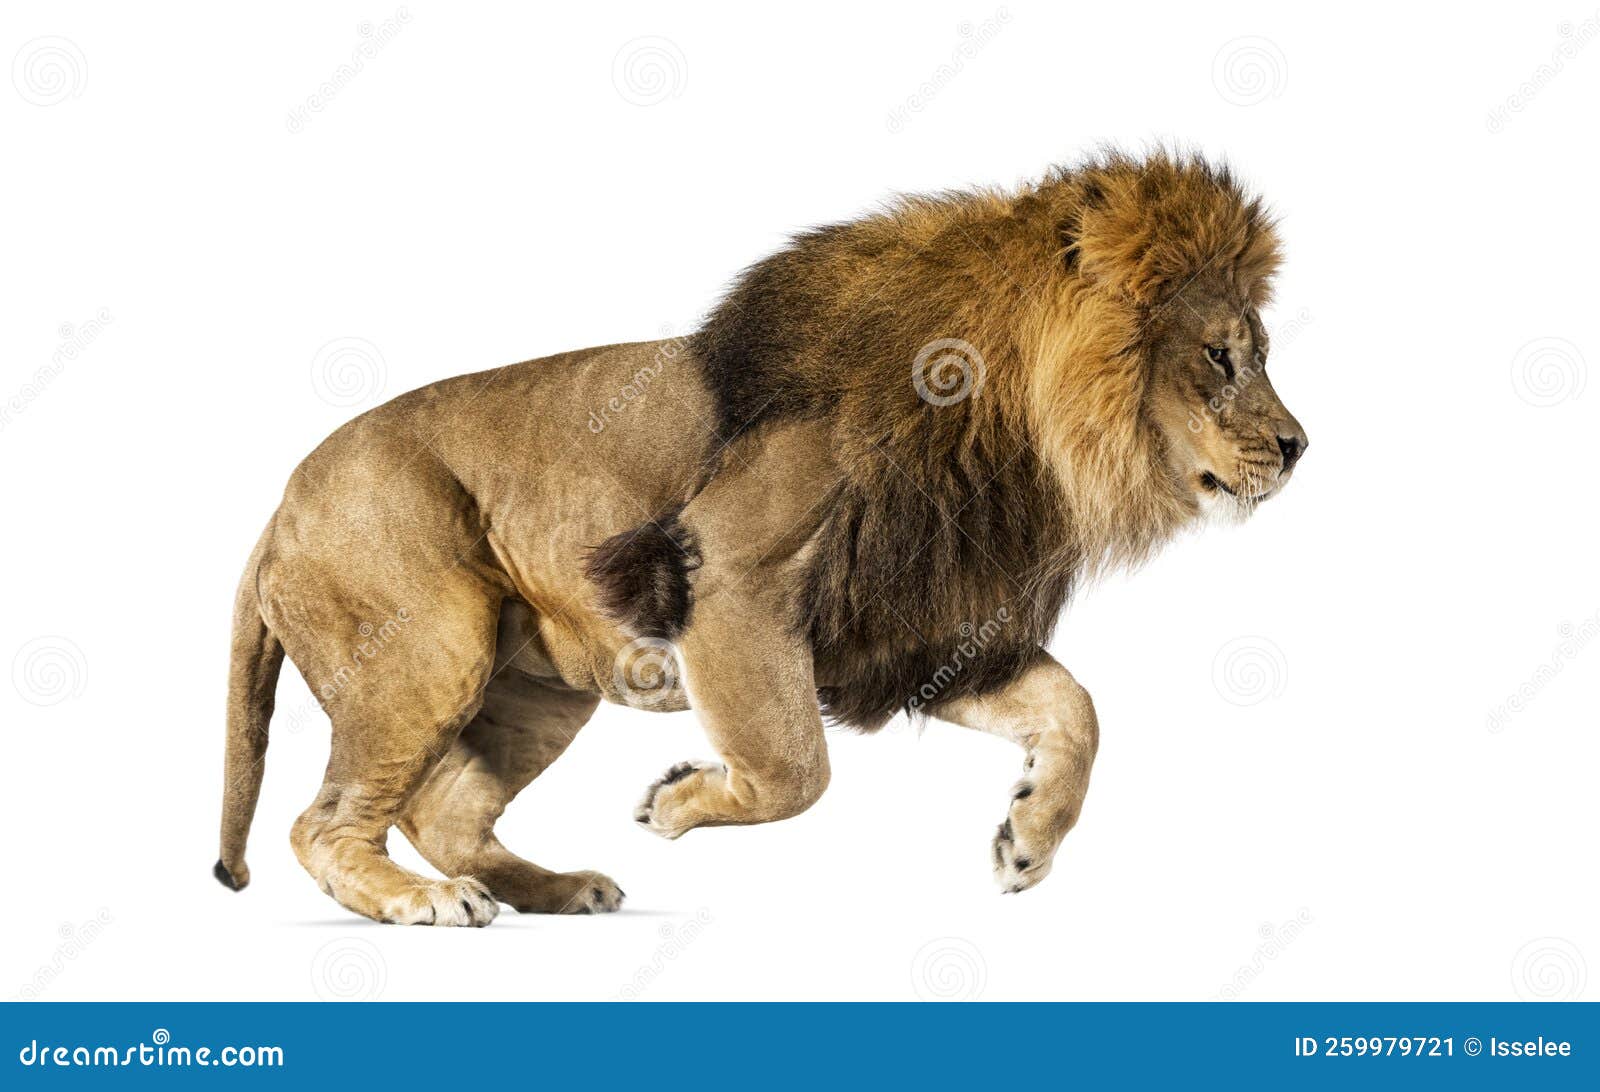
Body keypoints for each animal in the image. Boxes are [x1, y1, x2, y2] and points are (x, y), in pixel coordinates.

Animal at [215, 151, 1308, 924]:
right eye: (1221, 357)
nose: (1300, 447)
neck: (1015, 440)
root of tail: (276, 507)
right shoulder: (729, 575)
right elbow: (794, 770)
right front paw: (679, 801)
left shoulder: (917, 629)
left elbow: (1077, 711)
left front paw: (1028, 839)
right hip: (429, 644)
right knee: (325, 823)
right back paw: (422, 902)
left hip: (539, 686)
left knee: (439, 811)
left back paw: (553, 888)